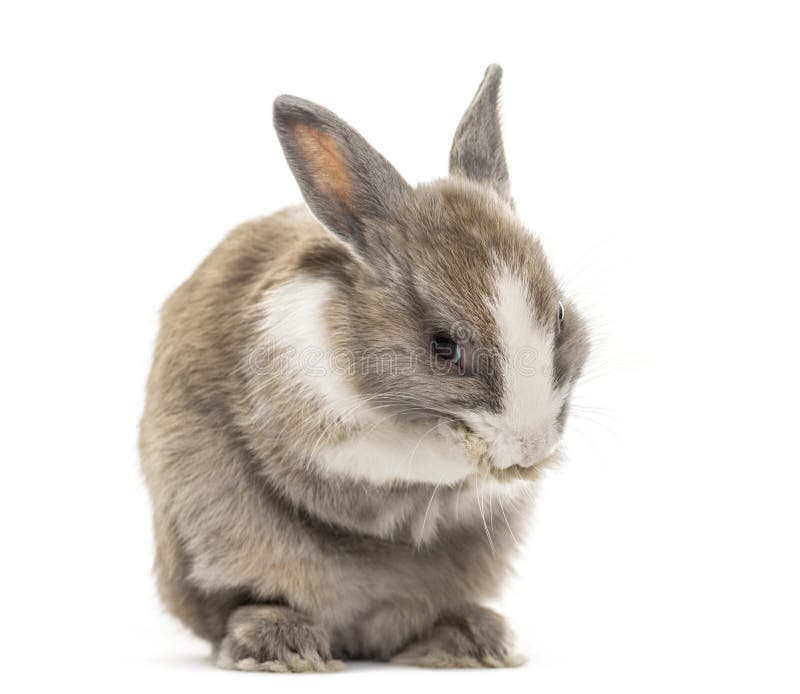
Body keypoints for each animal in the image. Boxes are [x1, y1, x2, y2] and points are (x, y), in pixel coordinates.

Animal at [139, 64, 590, 672]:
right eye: (442, 346)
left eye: (561, 315)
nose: (532, 447)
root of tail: (355, 638)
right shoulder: (315, 430)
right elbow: (406, 455)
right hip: (216, 540)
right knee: (237, 608)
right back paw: (282, 645)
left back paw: (471, 639)